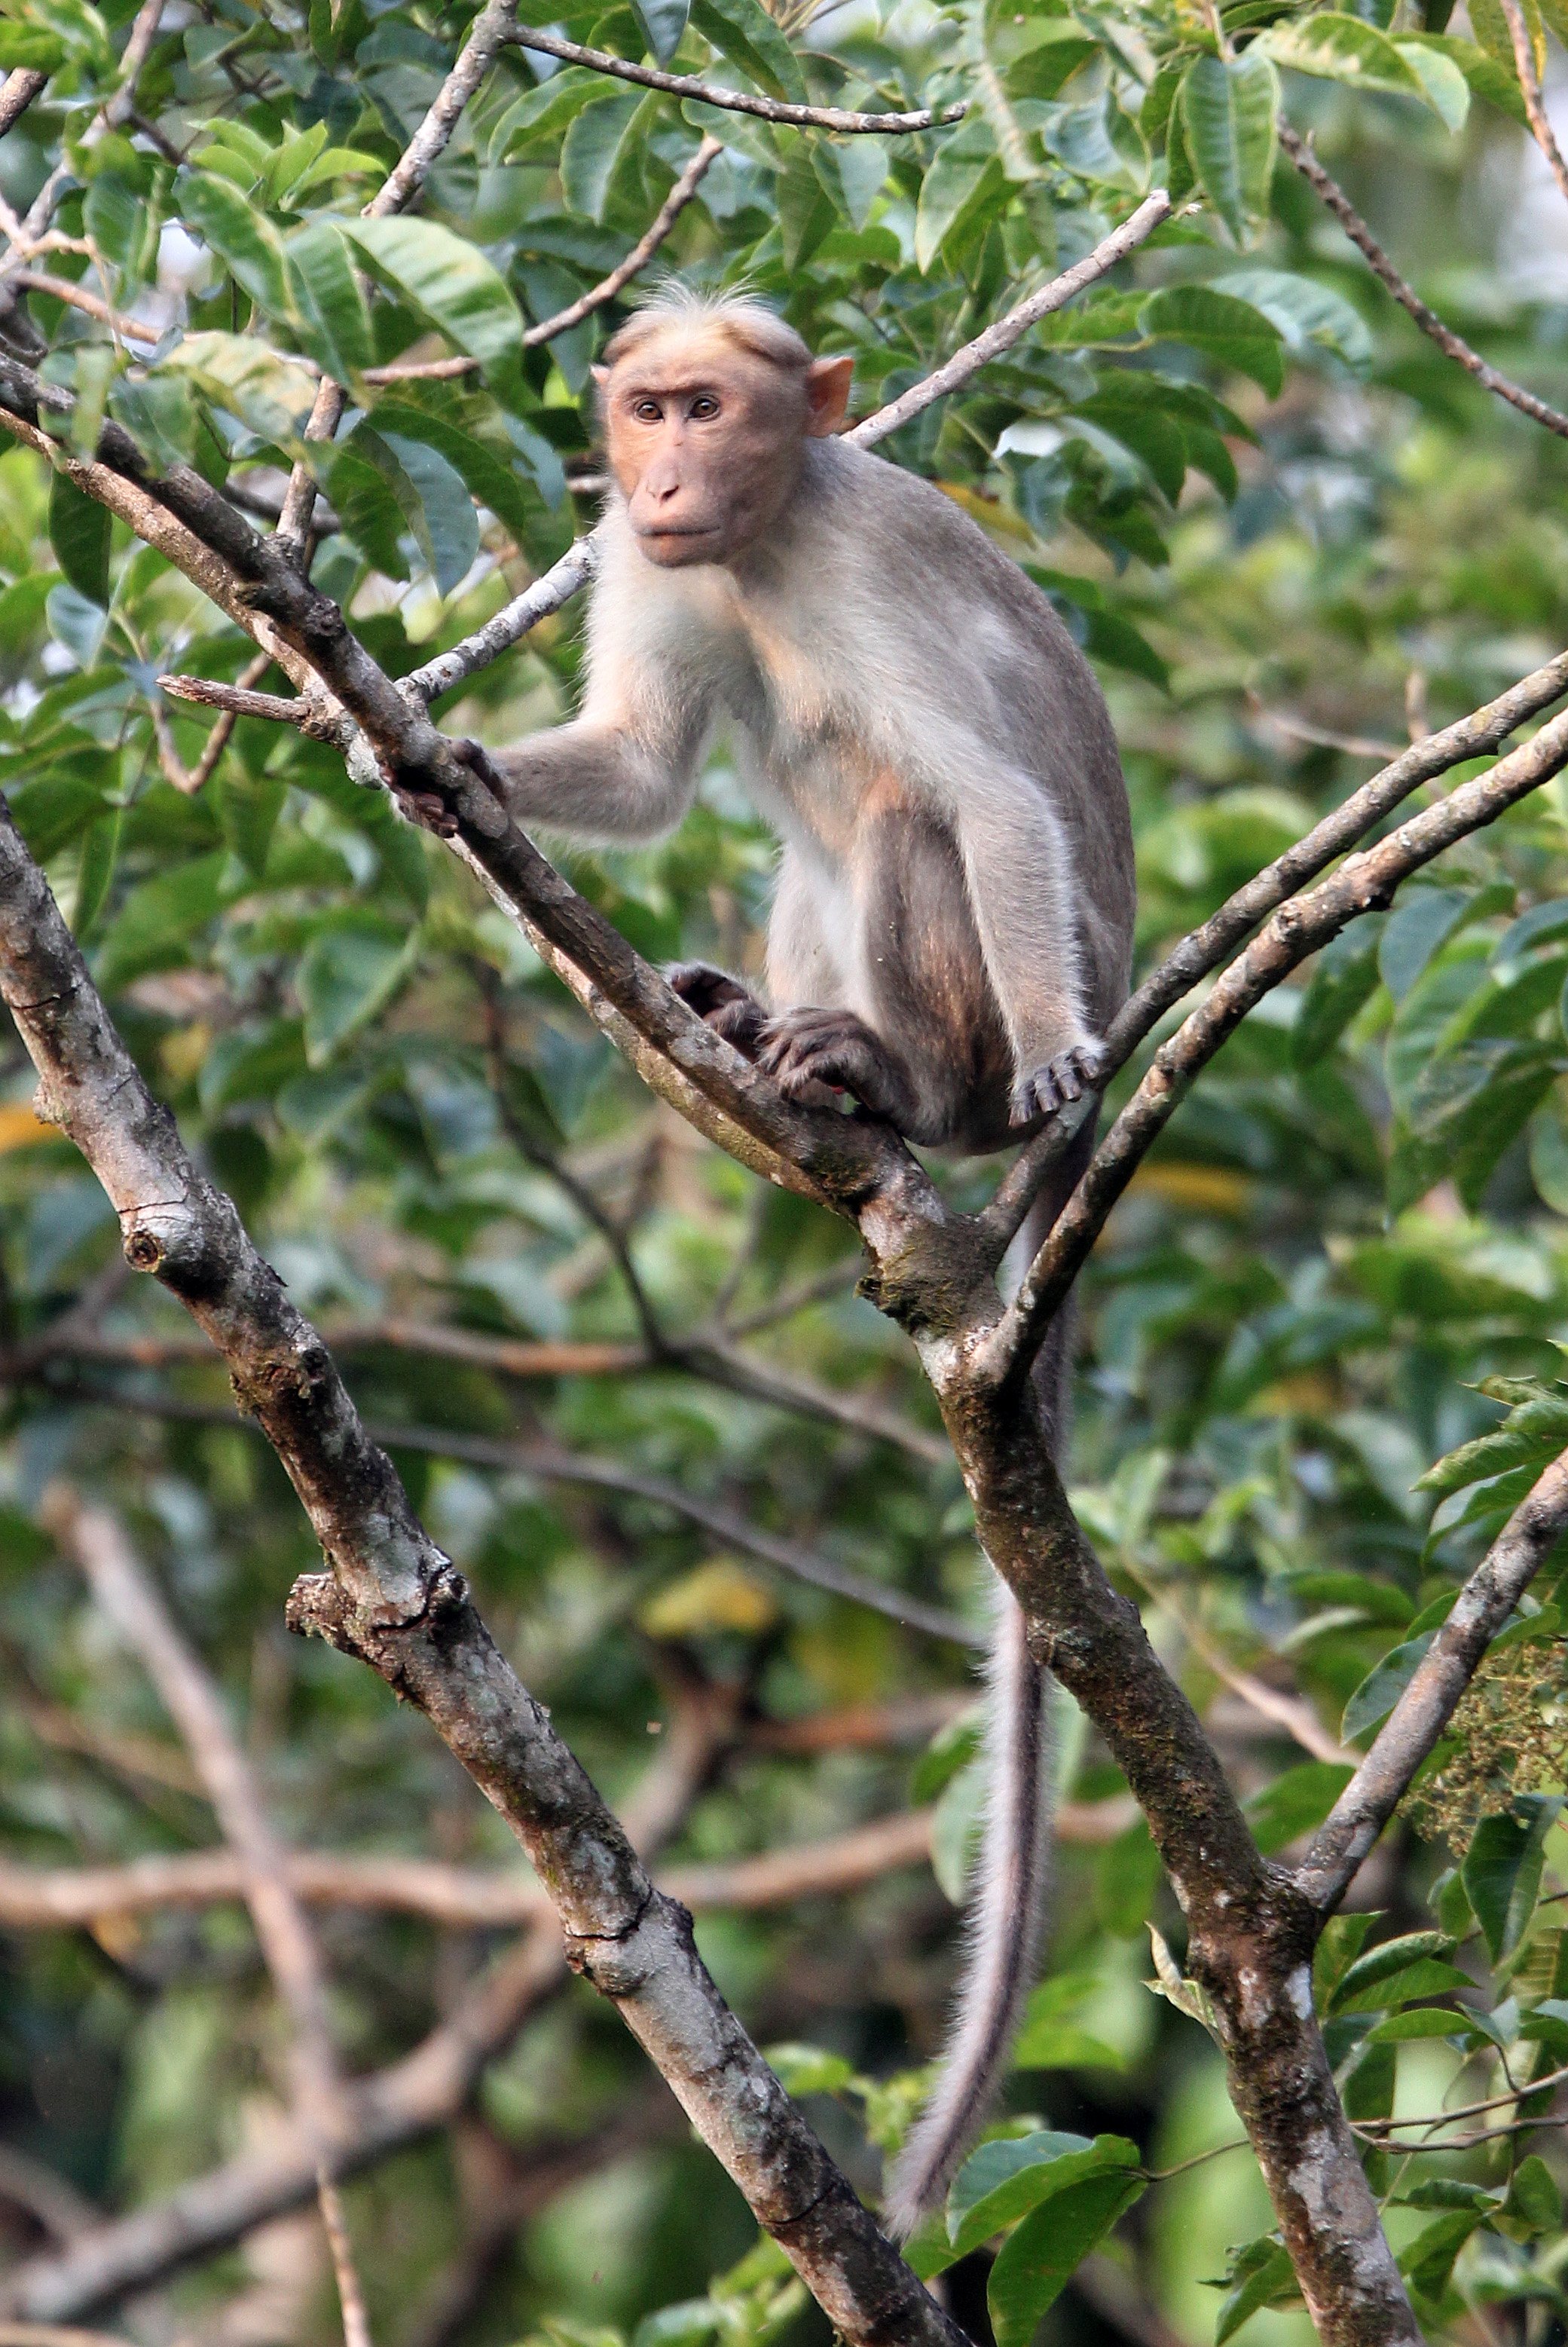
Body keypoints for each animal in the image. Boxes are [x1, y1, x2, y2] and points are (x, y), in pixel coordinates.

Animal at [478, 287, 1136, 2238]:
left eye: (708, 406)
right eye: (645, 409)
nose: (658, 473)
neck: (758, 544)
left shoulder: (853, 580)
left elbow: (989, 803)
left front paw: (1053, 1048)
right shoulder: (653, 566)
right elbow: (635, 766)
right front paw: (401, 741)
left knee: (902, 811)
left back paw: (893, 1086)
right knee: (808, 837)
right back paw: (752, 1032)